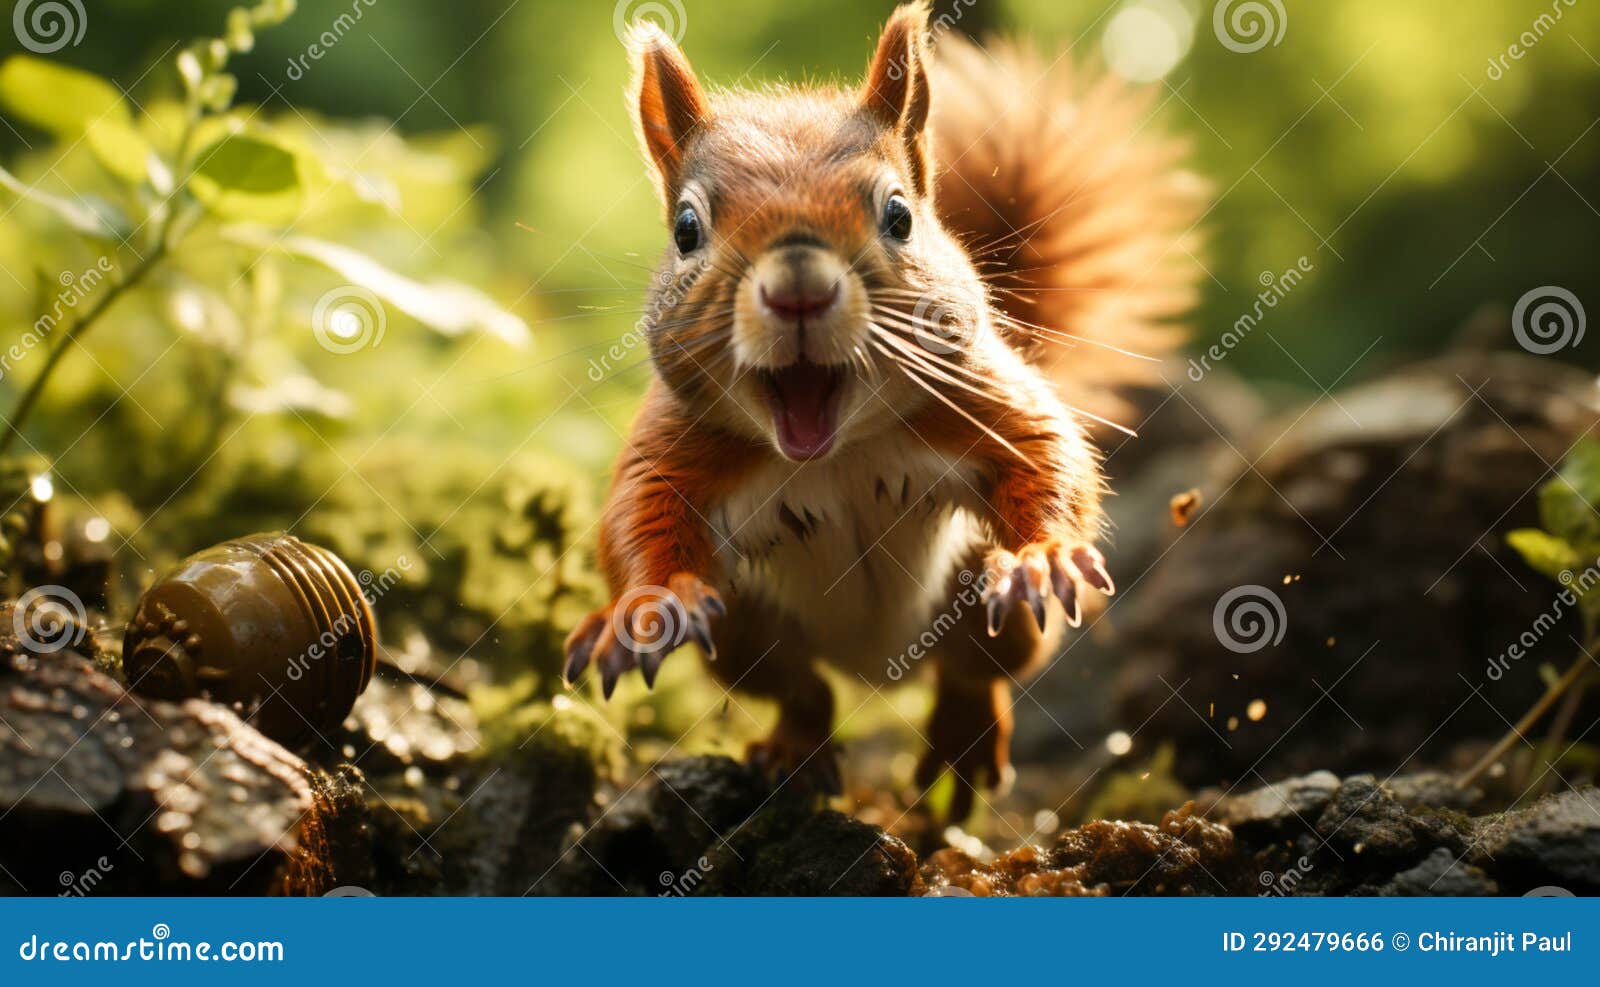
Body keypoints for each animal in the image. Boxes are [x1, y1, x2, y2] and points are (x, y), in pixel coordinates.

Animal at [564, 2, 1205, 818]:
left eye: (898, 214)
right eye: (686, 230)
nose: (798, 288)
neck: (838, 445)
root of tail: (876, 667)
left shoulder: (979, 399)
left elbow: (1047, 453)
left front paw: (1043, 553)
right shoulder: (675, 442)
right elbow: (635, 514)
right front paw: (646, 608)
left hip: (986, 609)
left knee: (975, 670)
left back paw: (961, 748)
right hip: (746, 630)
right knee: (800, 691)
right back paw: (795, 754)